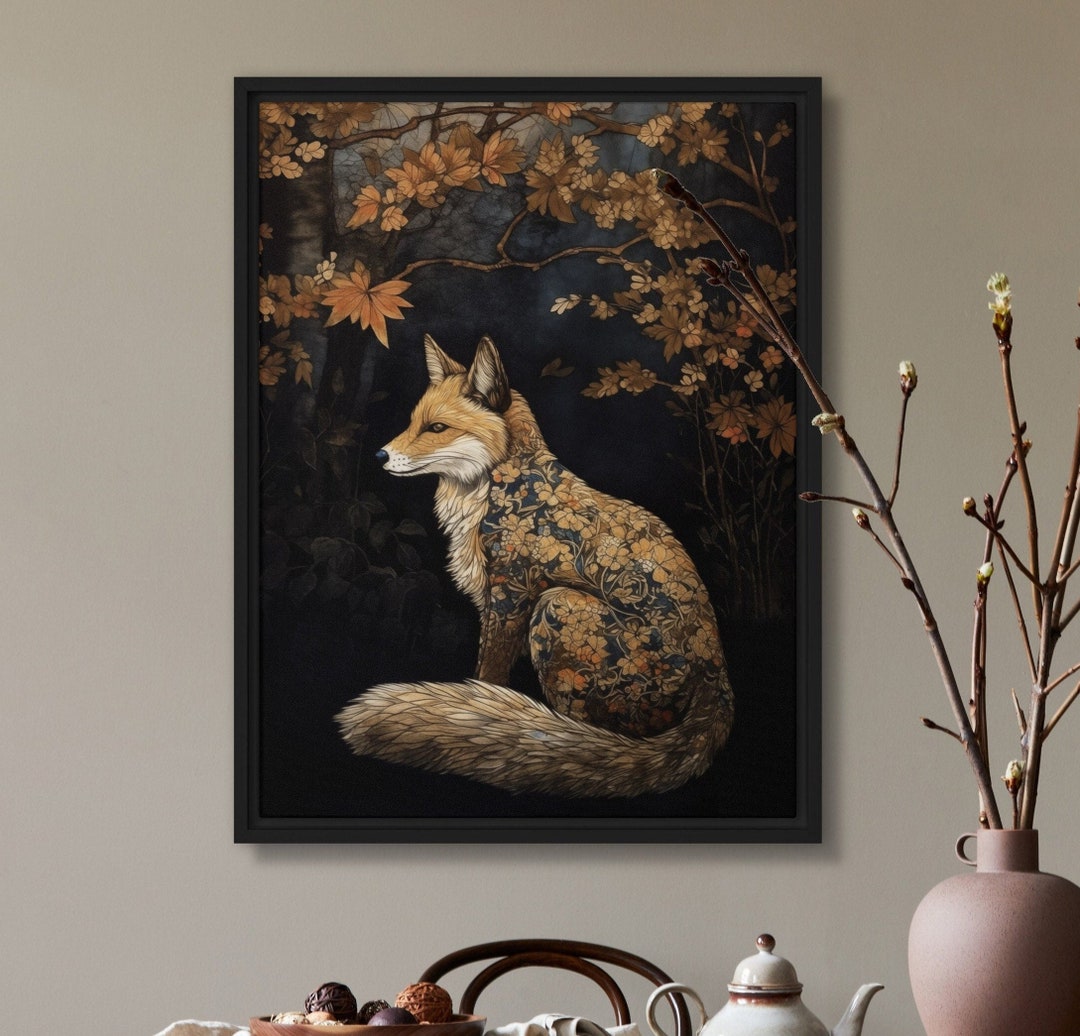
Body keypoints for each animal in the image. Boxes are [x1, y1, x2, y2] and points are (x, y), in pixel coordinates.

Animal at [335, 334, 734, 798]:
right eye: (413, 421)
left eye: (437, 428)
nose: (379, 455)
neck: (496, 490)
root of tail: (718, 685)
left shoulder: (511, 596)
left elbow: (488, 677)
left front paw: (485, 710)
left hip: (555, 606)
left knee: (594, 740)